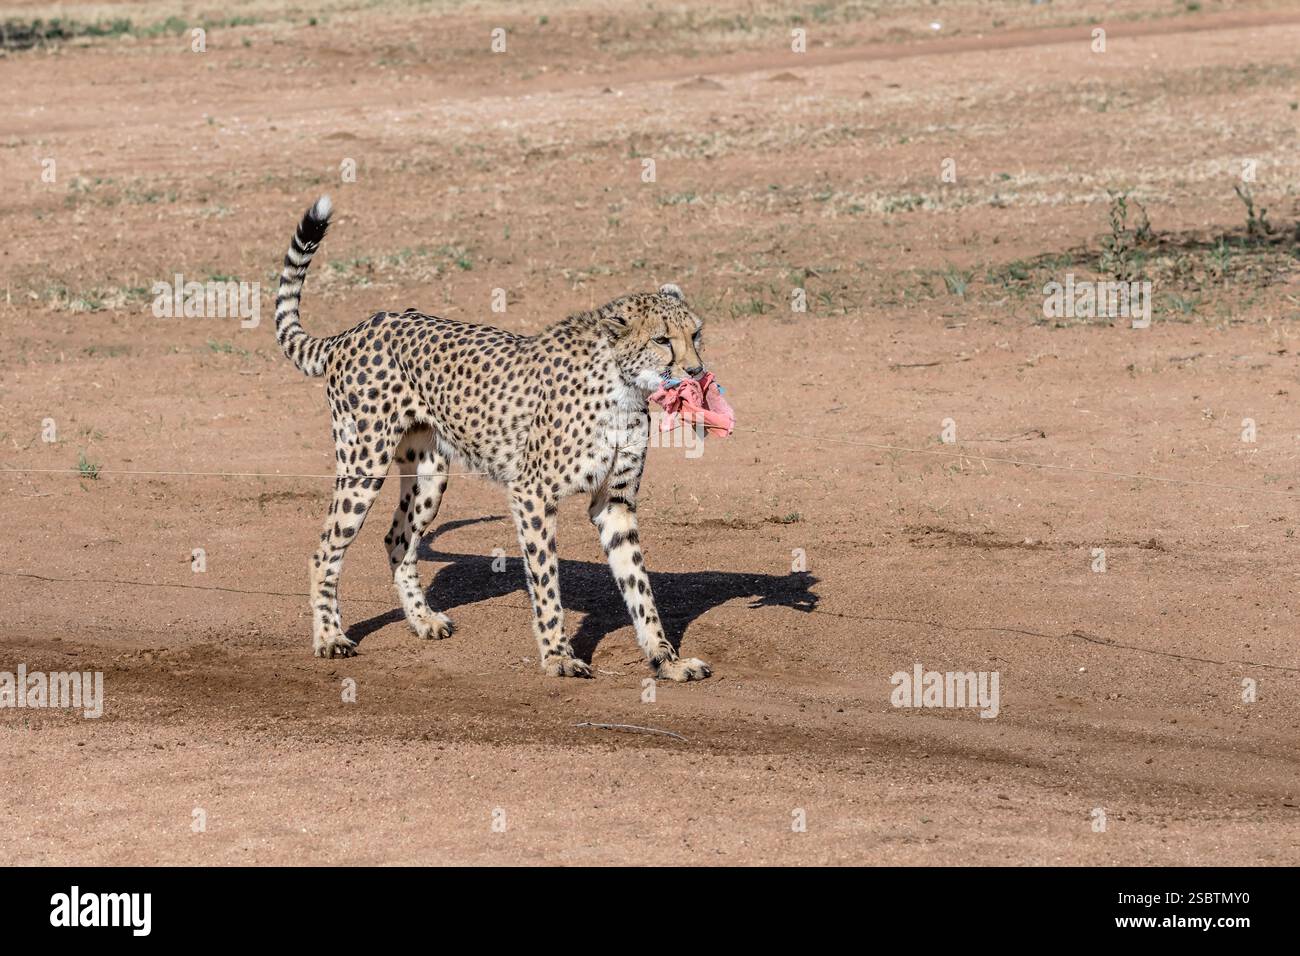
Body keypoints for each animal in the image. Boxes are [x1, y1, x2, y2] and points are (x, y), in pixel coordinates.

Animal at [274, 195, 713, 681]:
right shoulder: (533, 493)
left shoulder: (614, 502)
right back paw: (330, 637)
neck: (623, 385)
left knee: (397, 539)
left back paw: (422, 620)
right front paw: (558, 656)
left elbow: (638, 585)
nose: (695, 370)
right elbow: (546, 583)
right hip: (363, 464)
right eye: (662, 340)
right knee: (324, 552)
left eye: (694, 334)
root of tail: (360, 327)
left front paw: (666, 659)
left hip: (430, 476)